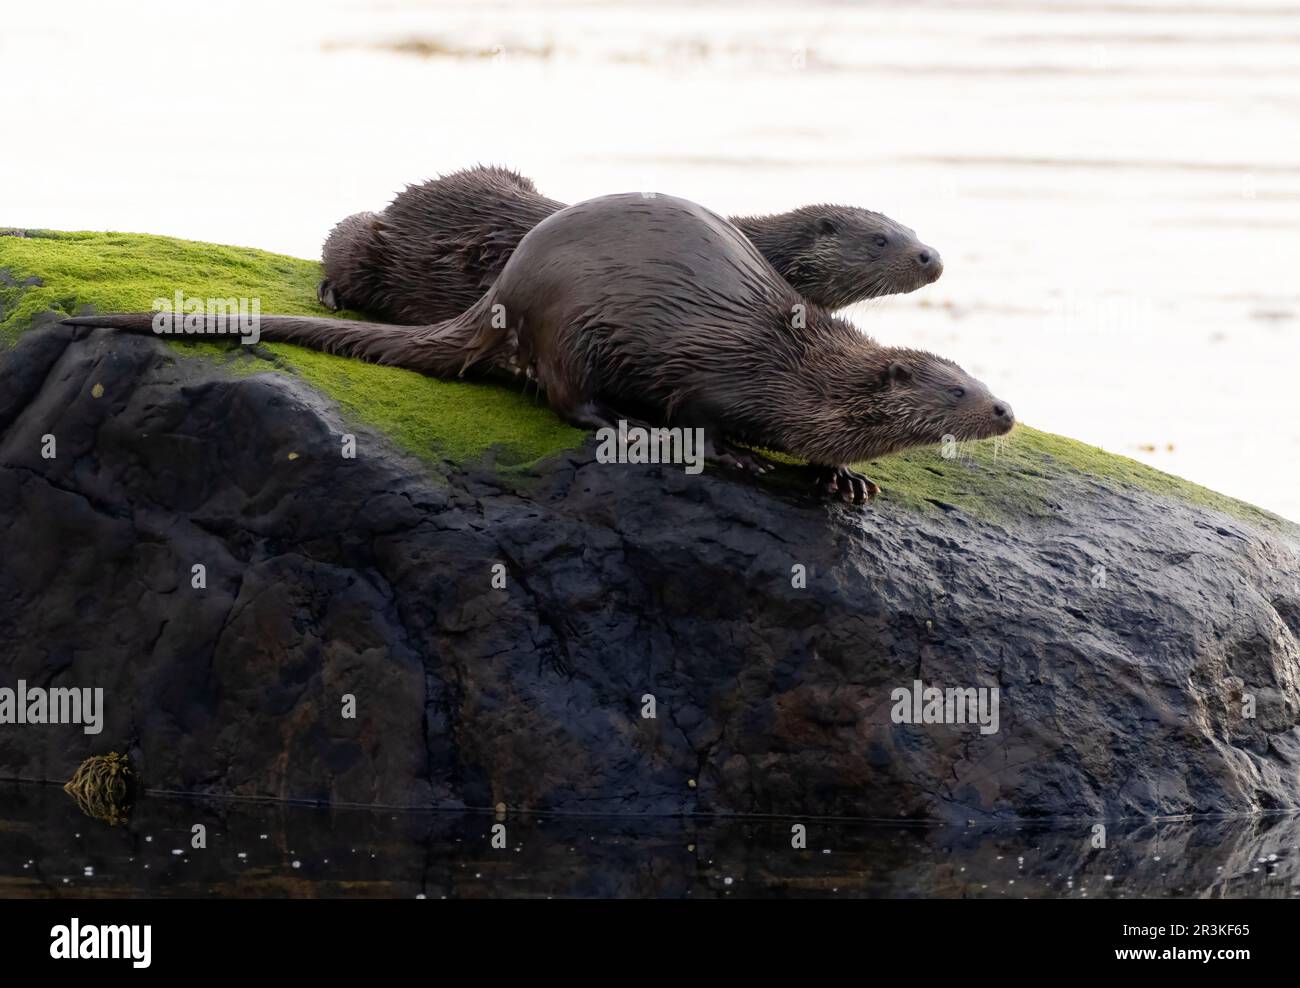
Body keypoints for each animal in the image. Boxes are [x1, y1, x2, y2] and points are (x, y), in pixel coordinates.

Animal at [64, 194, 1010, 503]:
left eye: (981, 377)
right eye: (955, 391)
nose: (1004, 409)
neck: (799, 375)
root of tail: (504, 296)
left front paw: (843, 478)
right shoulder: (715, 374)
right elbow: (708, 423)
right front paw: (744, 459)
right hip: (574, 330)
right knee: (568, 401)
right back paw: (631, 426)